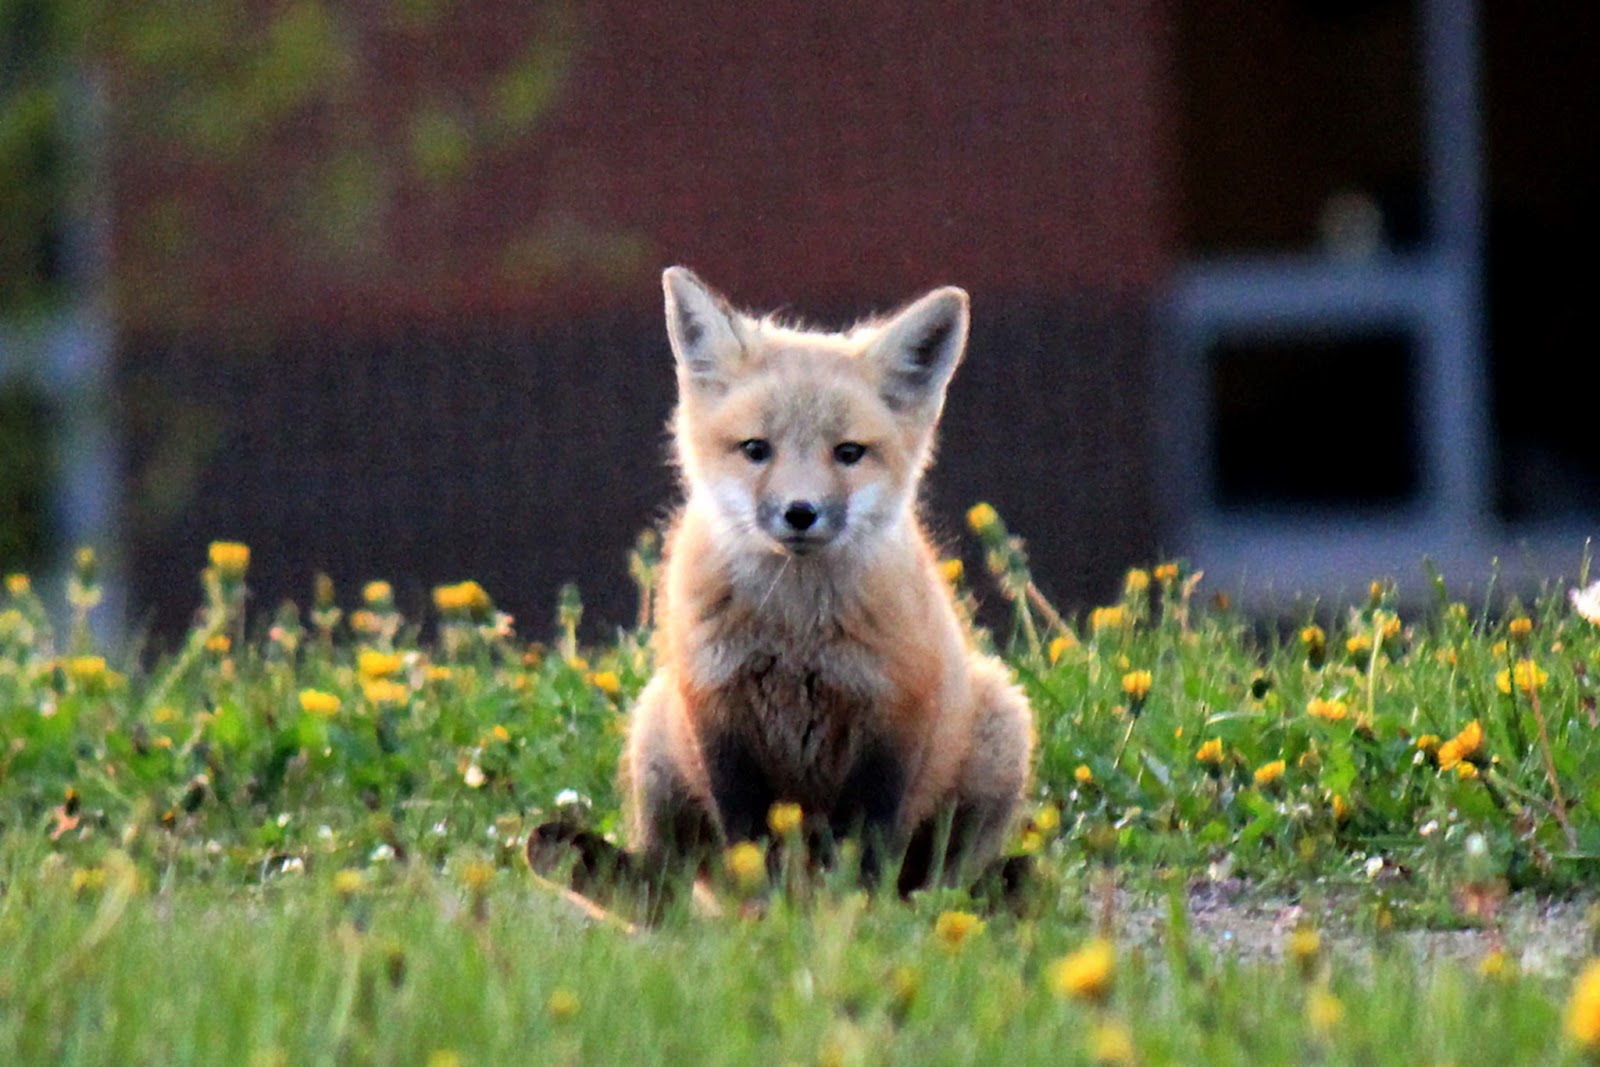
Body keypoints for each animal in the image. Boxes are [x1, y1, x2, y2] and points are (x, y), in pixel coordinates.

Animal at [613, 267, 1035, 894]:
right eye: (756, 449)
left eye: (849, 453)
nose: (800, 512)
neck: (795, 634)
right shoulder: (717, 712)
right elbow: (745, 837)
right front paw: (762, 906)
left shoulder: (893, 714)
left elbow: (870, 840)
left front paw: (859, 905)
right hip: (655, 734)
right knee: (683, 873)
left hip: (1001, 728)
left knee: (939, 870)